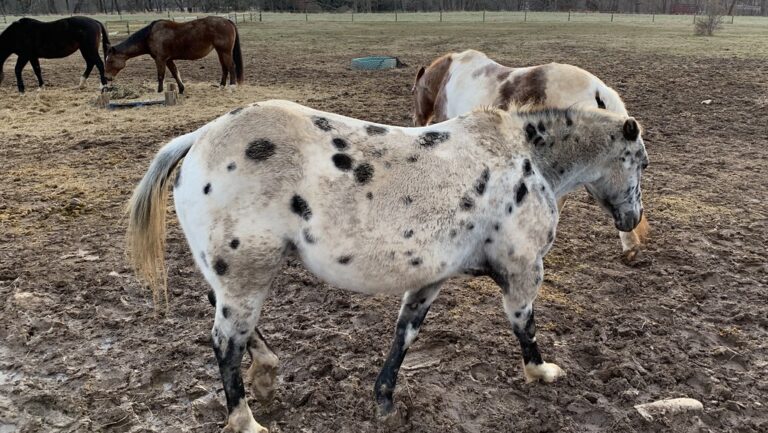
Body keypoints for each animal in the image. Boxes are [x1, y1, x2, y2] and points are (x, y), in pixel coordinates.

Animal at [104, 16, 243, 94]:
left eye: (110, 61)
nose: (107, 78)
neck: (150, 36)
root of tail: (227, 21)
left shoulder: (160, 59)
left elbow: (161, 76)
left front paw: (159, 91)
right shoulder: (168, 60)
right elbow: (175, 73)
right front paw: (181, 89)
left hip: (225, 51)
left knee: (231, 66)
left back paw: (232, 87)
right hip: (220, 52)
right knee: (224, 68)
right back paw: (221, 86)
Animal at [127, 100, 647, 432]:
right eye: (639, 162)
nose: (632, 219)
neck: (526, 160)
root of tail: (199, 138)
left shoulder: (430, 278)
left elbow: (406, 334)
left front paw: (385, 399)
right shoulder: (522, 272)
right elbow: (525, 326)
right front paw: (541, 373)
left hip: (234, 274)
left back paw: (269, 374)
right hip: (246, 275)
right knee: (224, 342)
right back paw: (246, 420)